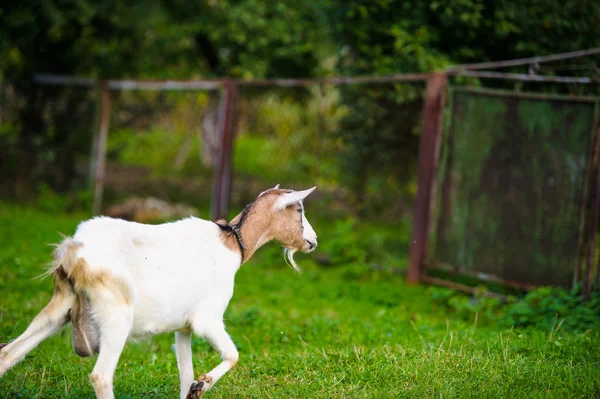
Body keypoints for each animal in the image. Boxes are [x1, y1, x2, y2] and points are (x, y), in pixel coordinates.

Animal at [0, 186, 318, 398]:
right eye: (299, 209)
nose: (313, 241)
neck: (232, 244)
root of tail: (73, 252)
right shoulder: (207, 319)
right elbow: (233, 355)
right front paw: (202, 384)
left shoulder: (184, 328)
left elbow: (185, 374)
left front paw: (193, 387)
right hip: (116, 316)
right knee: (101, 376)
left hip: (61, 307)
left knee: (8, 354)